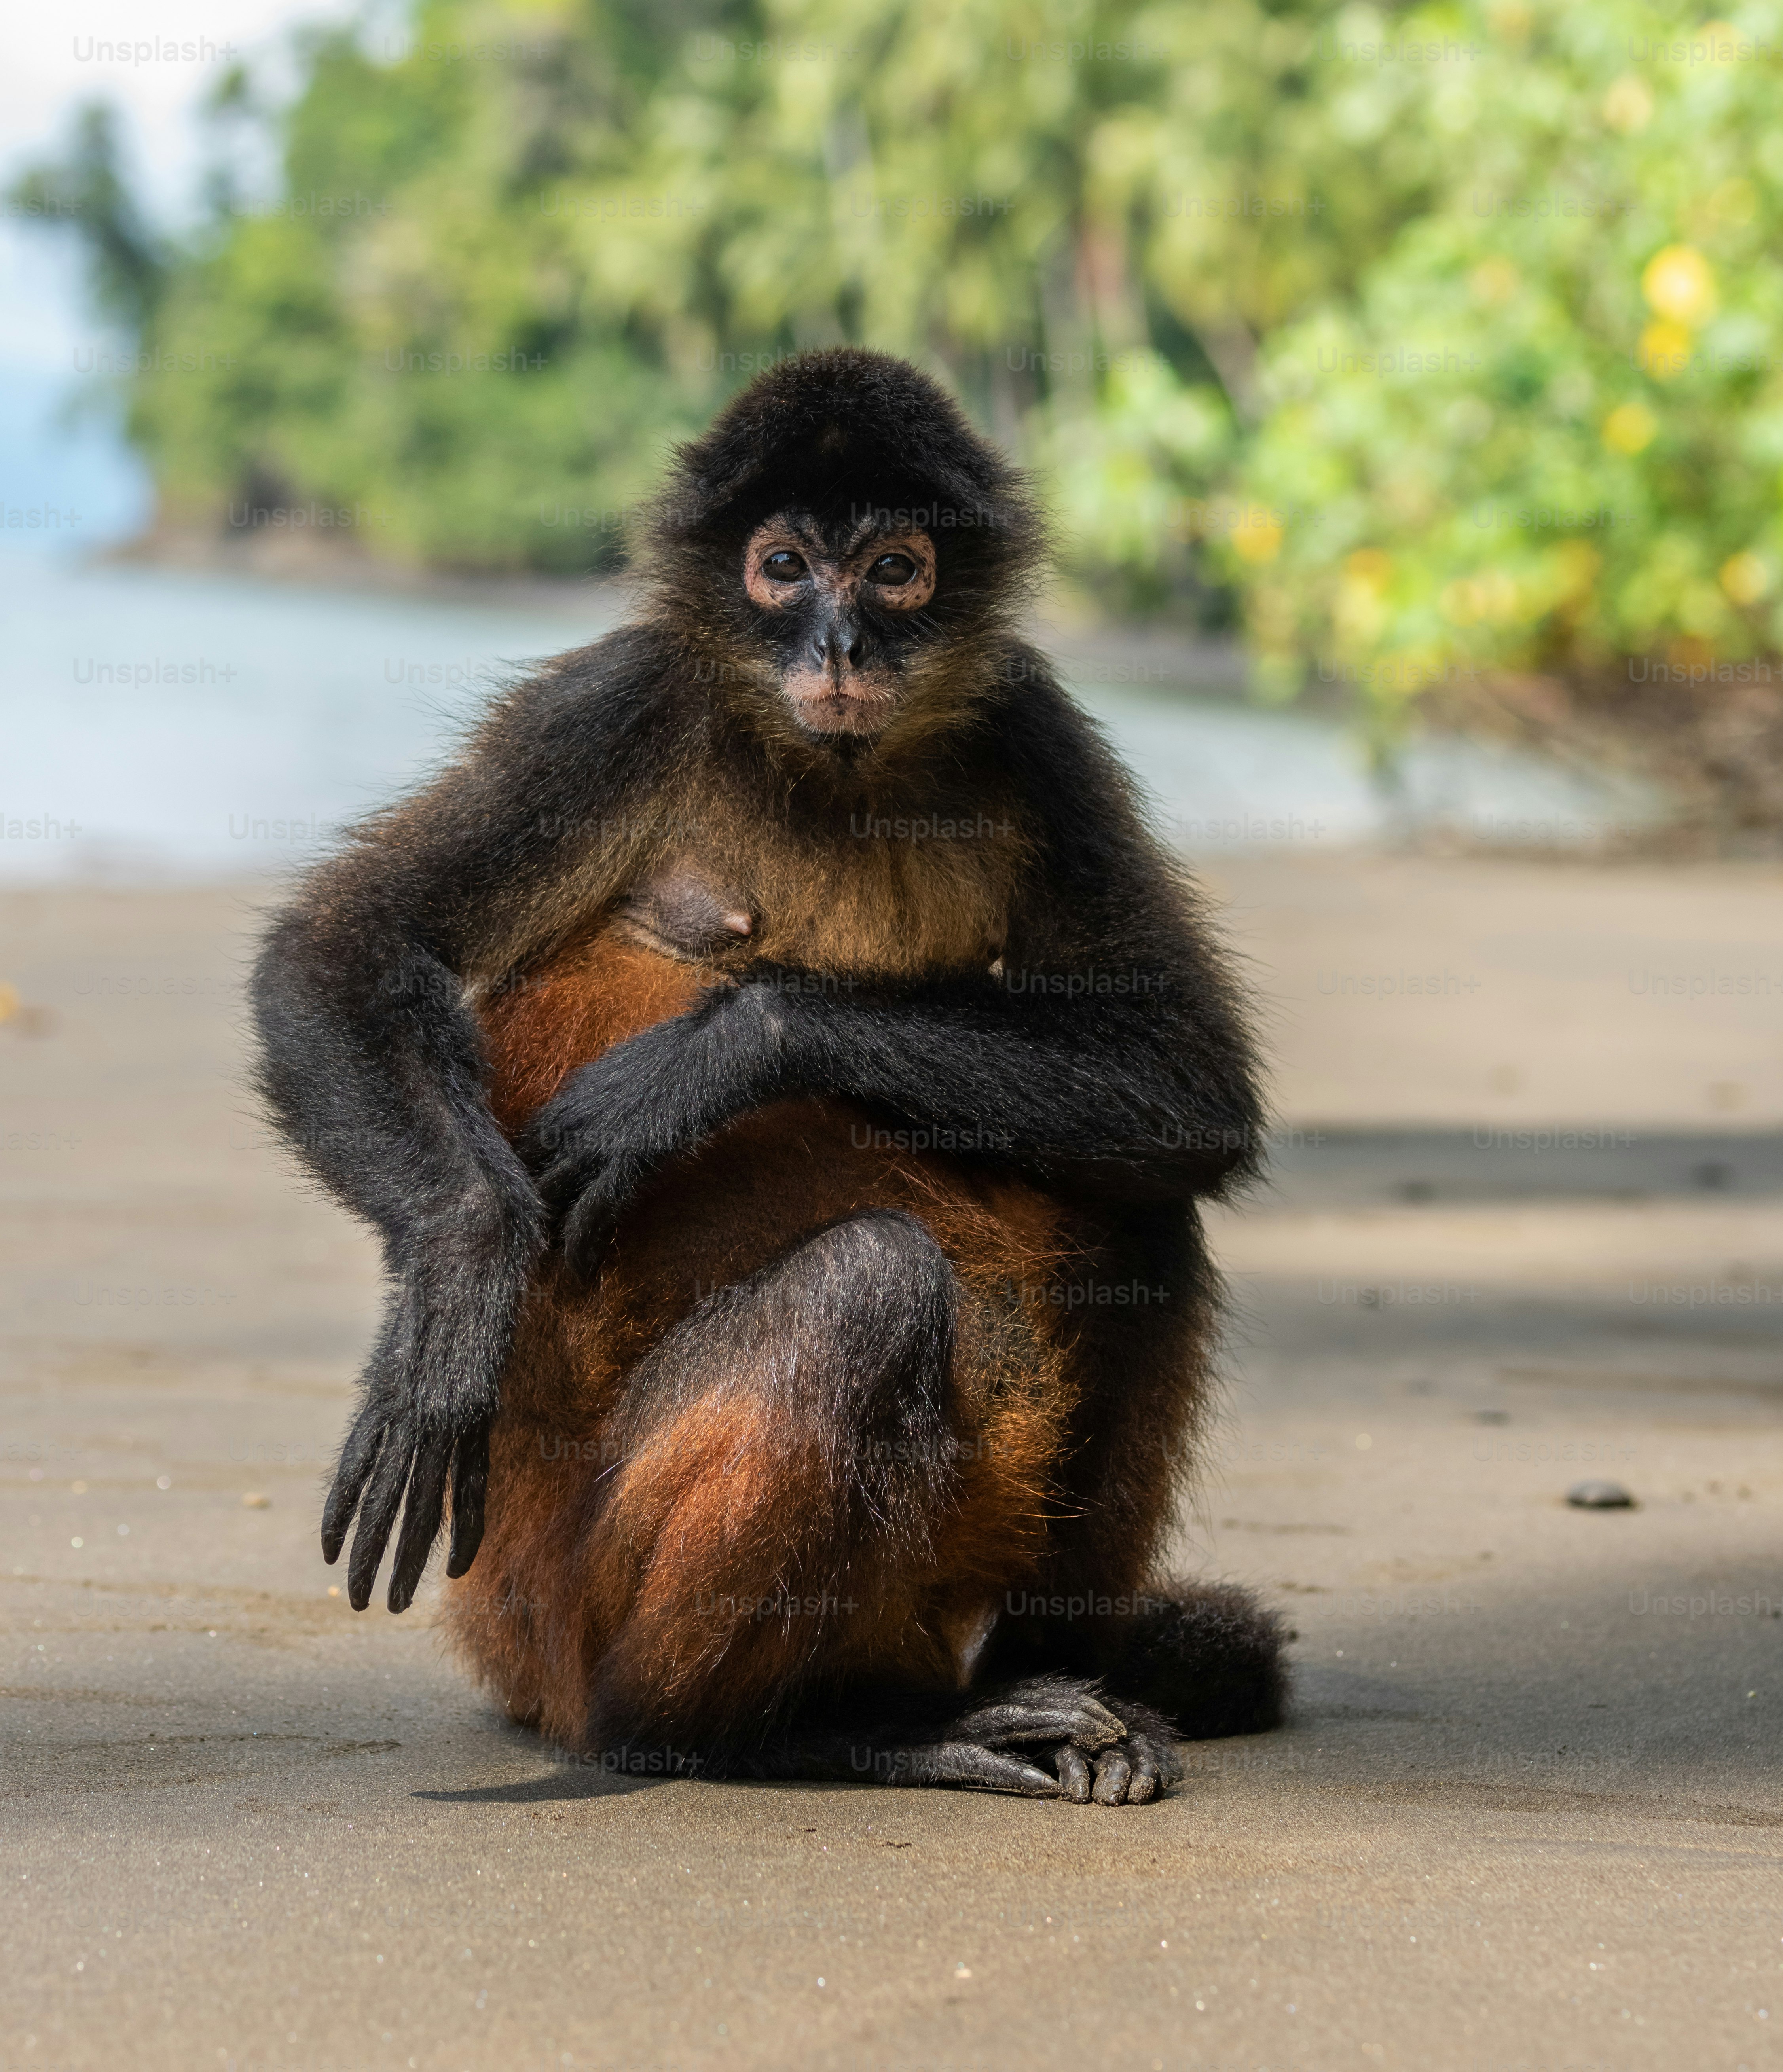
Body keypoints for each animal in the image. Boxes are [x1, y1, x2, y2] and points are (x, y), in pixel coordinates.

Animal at [253, 347, 1285, 1804]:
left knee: (1139, 1212)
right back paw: (776, 1733)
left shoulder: (1029, 722)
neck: (829, 764)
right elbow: (343, 945)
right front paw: (456, 1286)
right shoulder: (619, 700)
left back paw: (1011, 1688)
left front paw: (716, 1055)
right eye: (783, 565)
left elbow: (1191, 1079)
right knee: (869, 1286)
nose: (838, 646)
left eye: (896, 570)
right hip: (565, 1593)